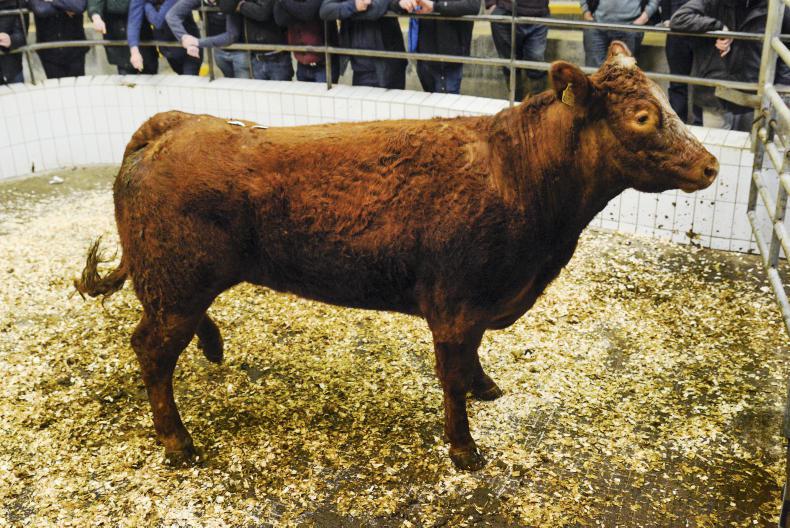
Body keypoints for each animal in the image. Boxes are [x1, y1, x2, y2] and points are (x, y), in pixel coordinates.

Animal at [75, 42, 718, 471]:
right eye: (642, 116)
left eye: (668, 102)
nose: (711, 165)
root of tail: (174, 122)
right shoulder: (455, 304)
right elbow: (451, 376)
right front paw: (464, 449)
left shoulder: (476, 304)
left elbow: (471, 364)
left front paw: (487, 387)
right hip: (175, 284)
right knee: (151, 350)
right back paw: (178, 442)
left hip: (178, 283)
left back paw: (211, 348)